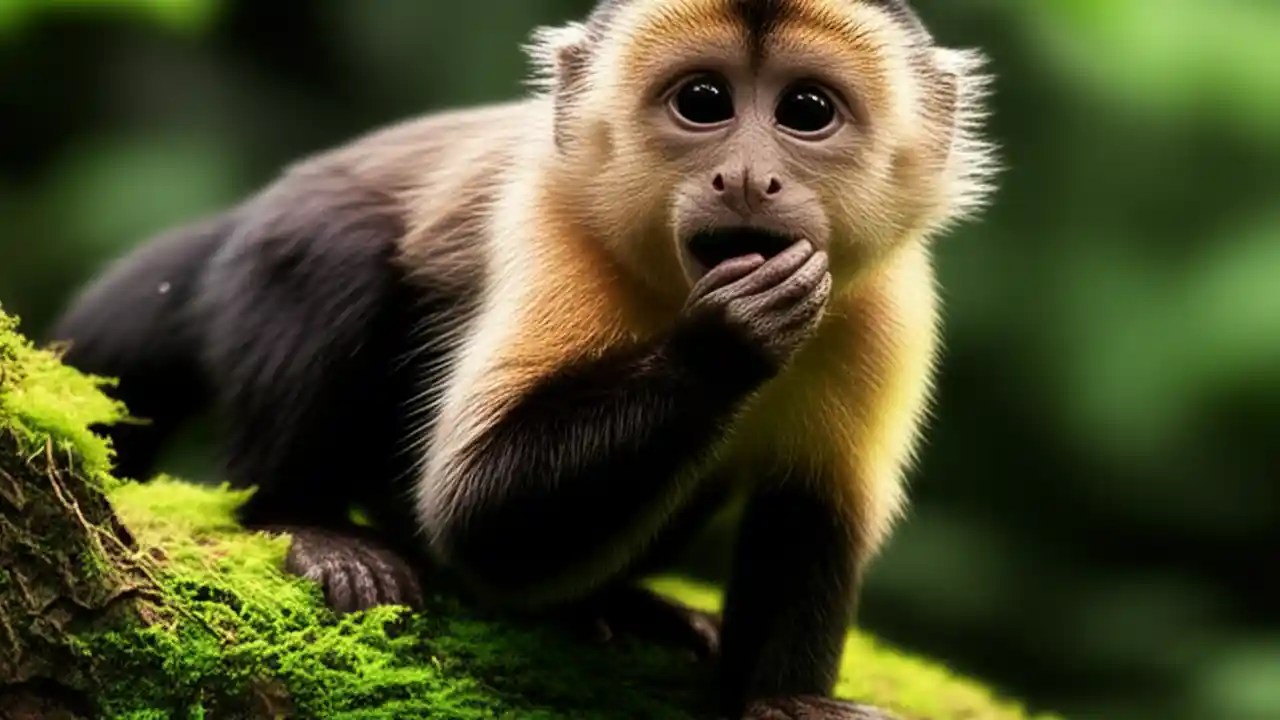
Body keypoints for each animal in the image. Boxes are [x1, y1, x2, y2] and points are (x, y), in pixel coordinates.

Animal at [47, 1, 996, 717]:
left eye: (805, 112)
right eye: (703, 101)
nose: (746, 179)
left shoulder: (886, 306)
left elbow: (814, 507)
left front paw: (782, 700)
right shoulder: (554, 222)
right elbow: (475, 513)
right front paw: (727, 339)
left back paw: (614, 603)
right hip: (275, 254)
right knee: (335, 251)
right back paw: (303, 518)